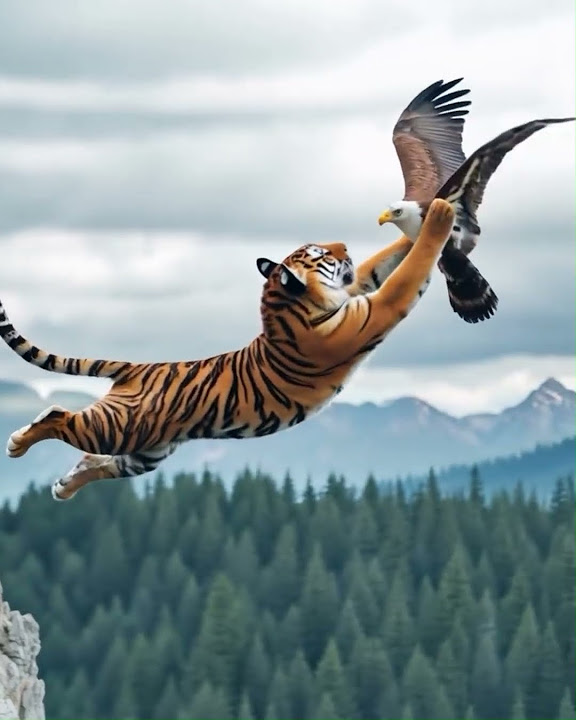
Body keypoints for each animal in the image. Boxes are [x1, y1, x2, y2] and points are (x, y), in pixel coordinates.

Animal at [1, 199, 454, 501]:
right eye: (322, 253)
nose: (344, 243)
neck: (285, 307)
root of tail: (135, 367)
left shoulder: (355, 291)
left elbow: (382, 264)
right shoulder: (373, 311)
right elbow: (410, 271)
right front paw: (439, 215)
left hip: (146, 450)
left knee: (94, 459)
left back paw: (63, 487)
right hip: (116, 425)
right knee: (59, 417)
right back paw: (19, 442)